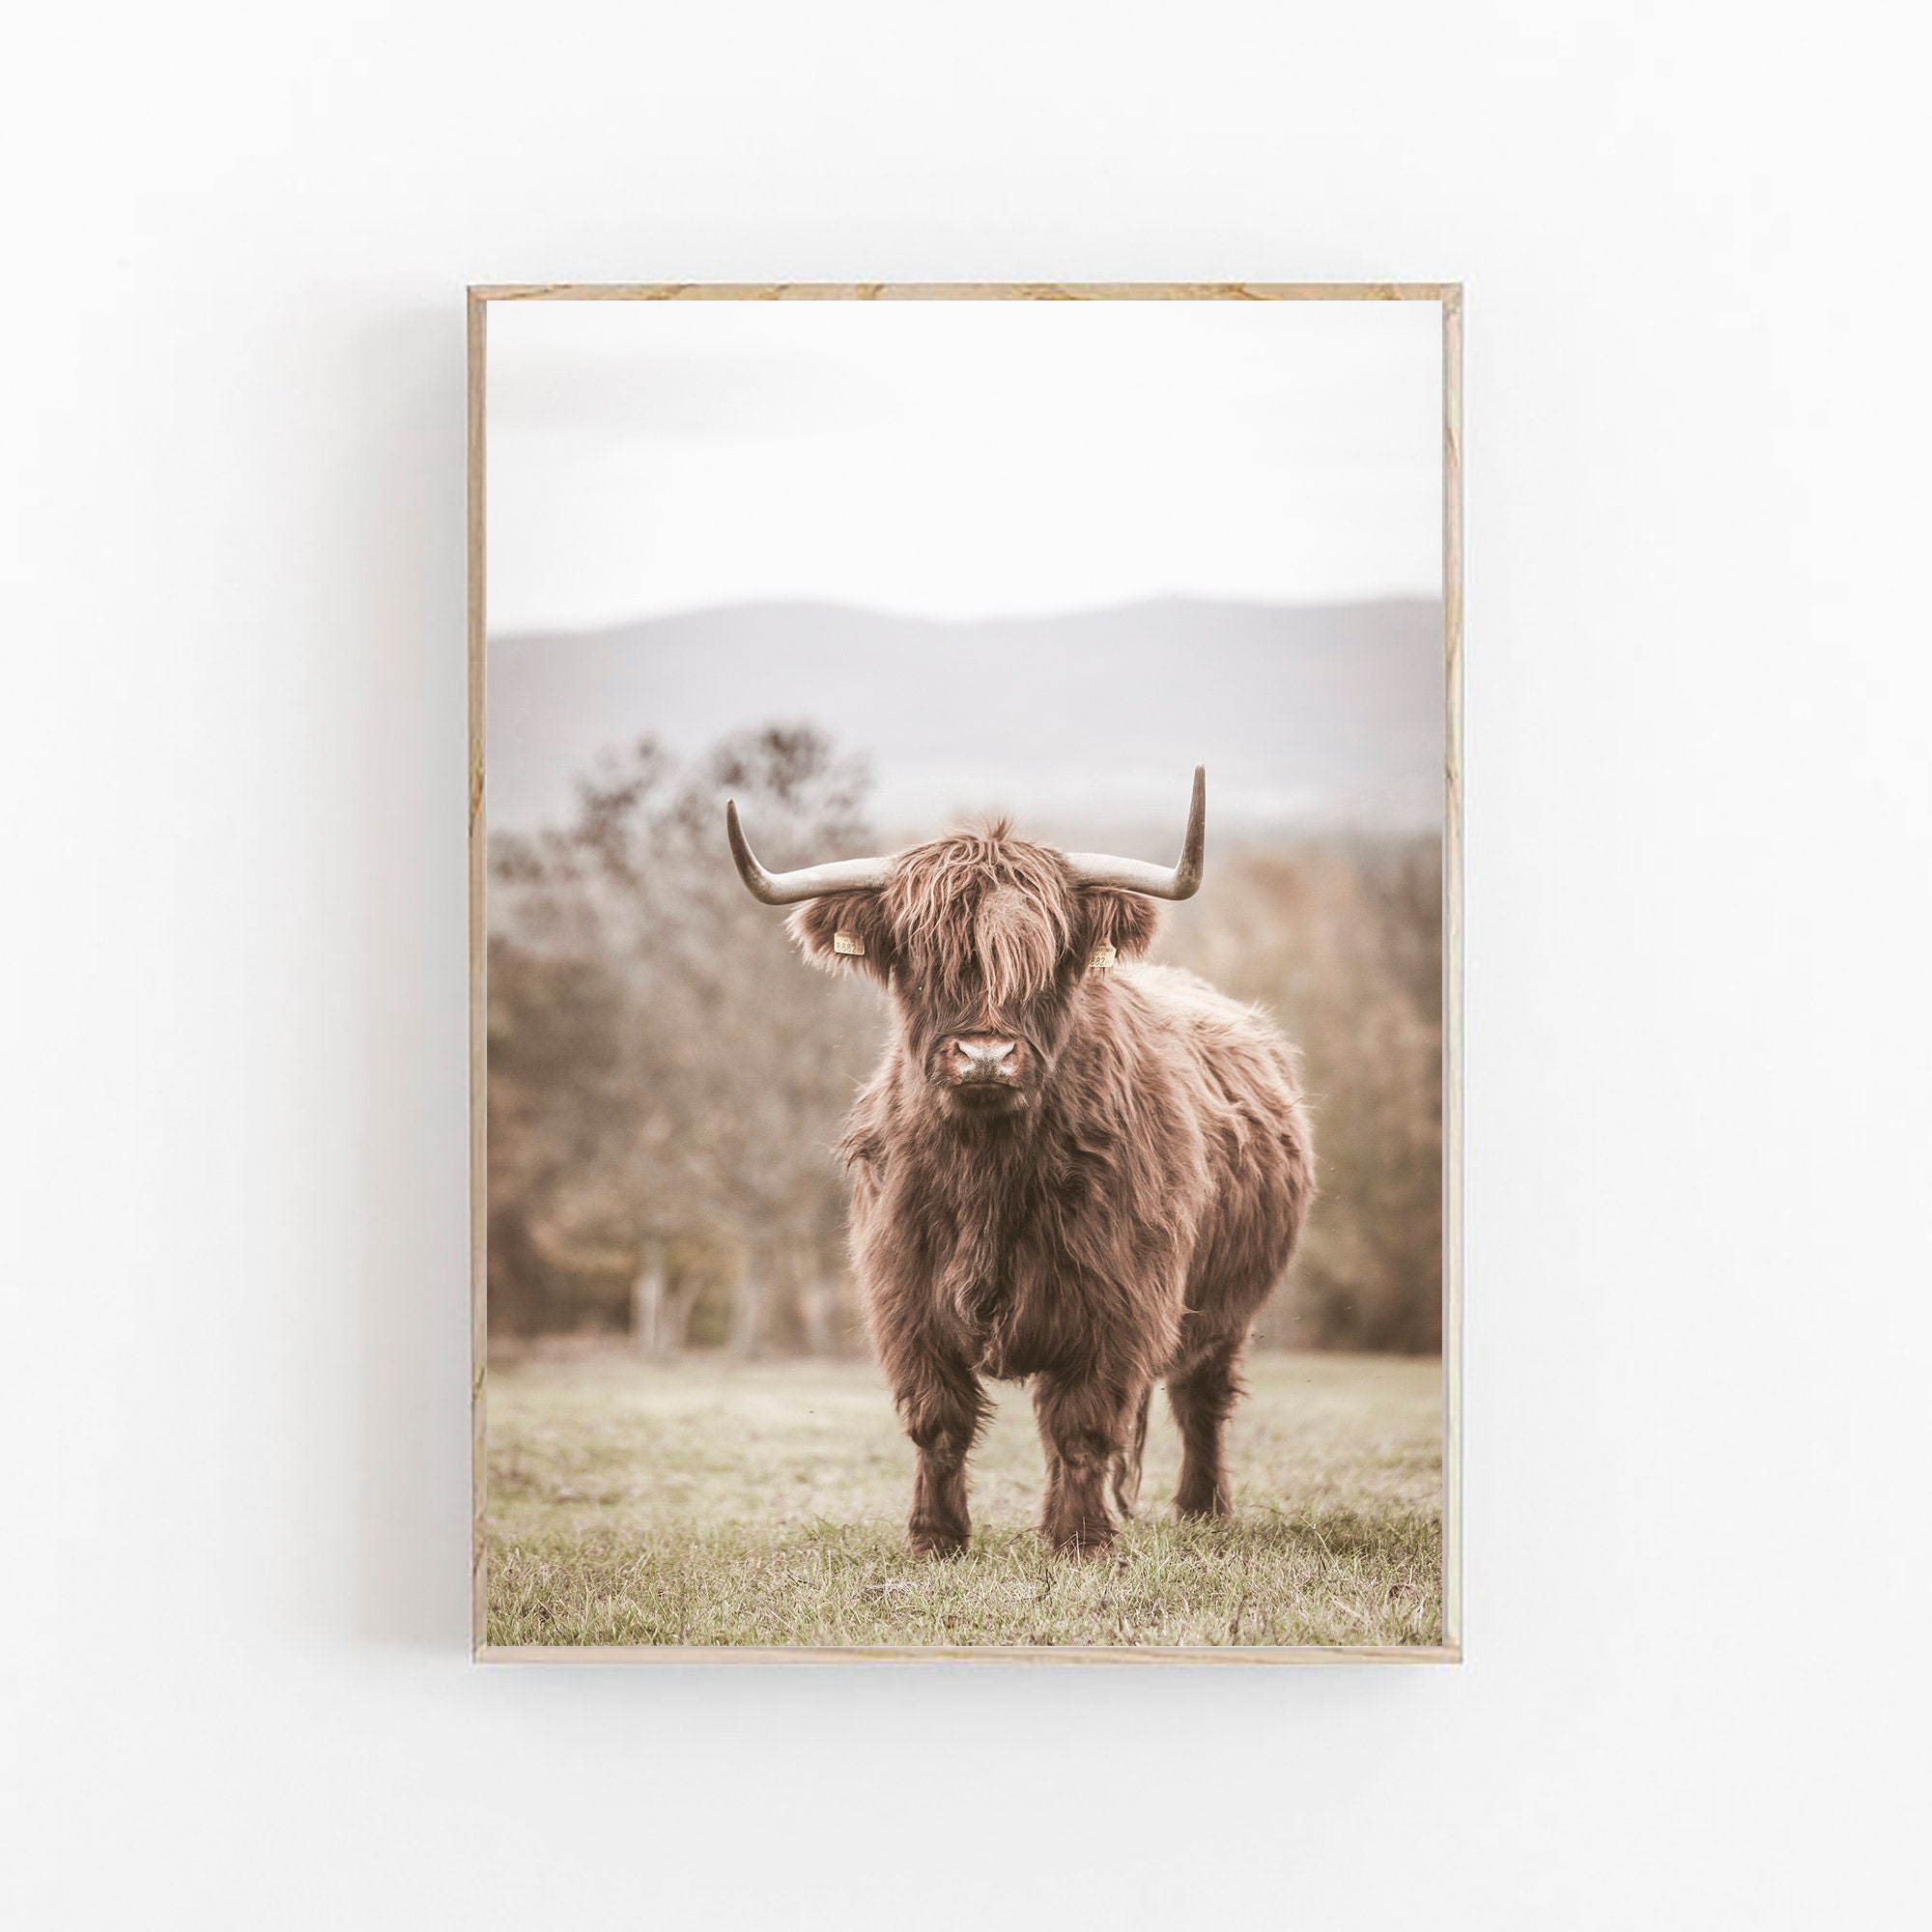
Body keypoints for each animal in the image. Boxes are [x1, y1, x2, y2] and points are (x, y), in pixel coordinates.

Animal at [725, 769, 1314, 1558]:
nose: (985, 1055)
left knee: (1200, 1398)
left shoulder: (1117, 1301)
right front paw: (935, 1537)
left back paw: (1202, 1508)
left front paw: (1081, 1539)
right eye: (921, 957)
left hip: (1227, 1306)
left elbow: (1084, 1422)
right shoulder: (905, 1297)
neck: (989, 1170)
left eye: (1049, 958)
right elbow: (938, 1423)